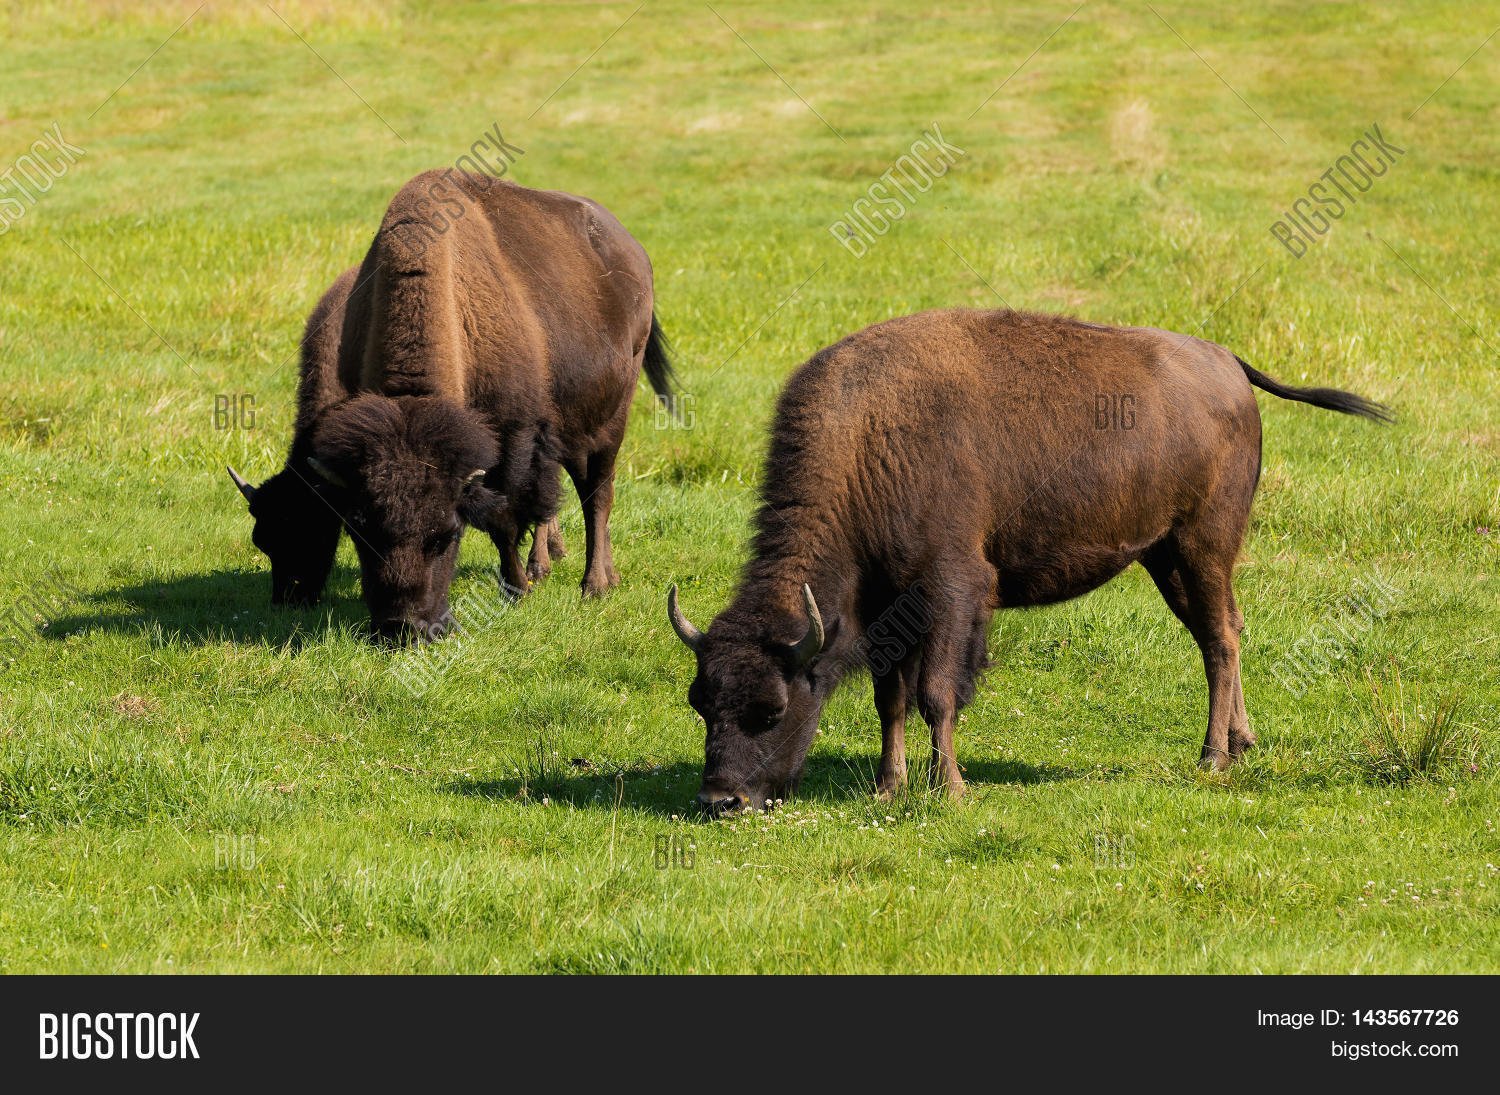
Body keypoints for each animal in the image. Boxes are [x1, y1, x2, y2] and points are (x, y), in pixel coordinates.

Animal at [229, 169, 673, 641]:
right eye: (358, 531)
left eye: (446, 536)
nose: (404, 628)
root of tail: (632, 252)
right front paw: (524, 581)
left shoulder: (512, 440)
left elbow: (504, 519)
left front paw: (517, 590)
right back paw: (551, 564)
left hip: (613, 413)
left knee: (597, 493)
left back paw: (596, 585)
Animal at [668, 308, 1389, 813]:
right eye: (701, 702)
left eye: (771, 709)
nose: (720, 800)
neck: (869, 441)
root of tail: (1228, 363)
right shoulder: (883, 610)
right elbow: (889, 698)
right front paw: (887, 787)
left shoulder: (952, 589)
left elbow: (936, 694)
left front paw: (951, 789)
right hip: (1165, 557)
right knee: (1227, 630)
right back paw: (1242, 743)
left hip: (1201, 544)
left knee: (1218, 640)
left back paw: (1212, 758)